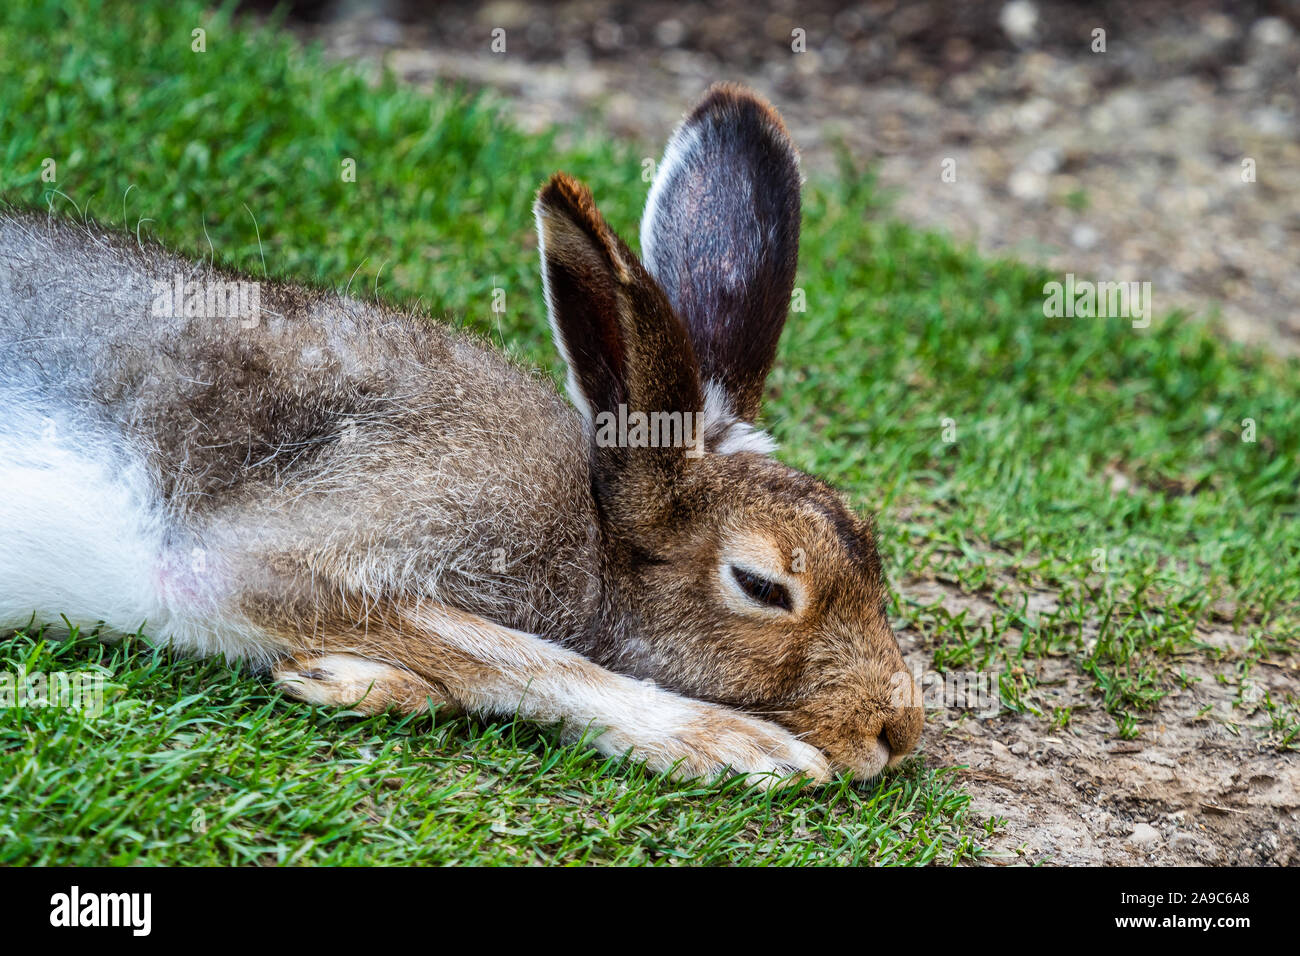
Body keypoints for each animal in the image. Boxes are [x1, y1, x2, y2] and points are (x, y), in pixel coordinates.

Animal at [0, 83, 922, 784]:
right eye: (761, 585)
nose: (896, 732)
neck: (593, 533)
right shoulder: (254, 556)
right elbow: (521, 657)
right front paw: (742, 748)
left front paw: (347, 680)